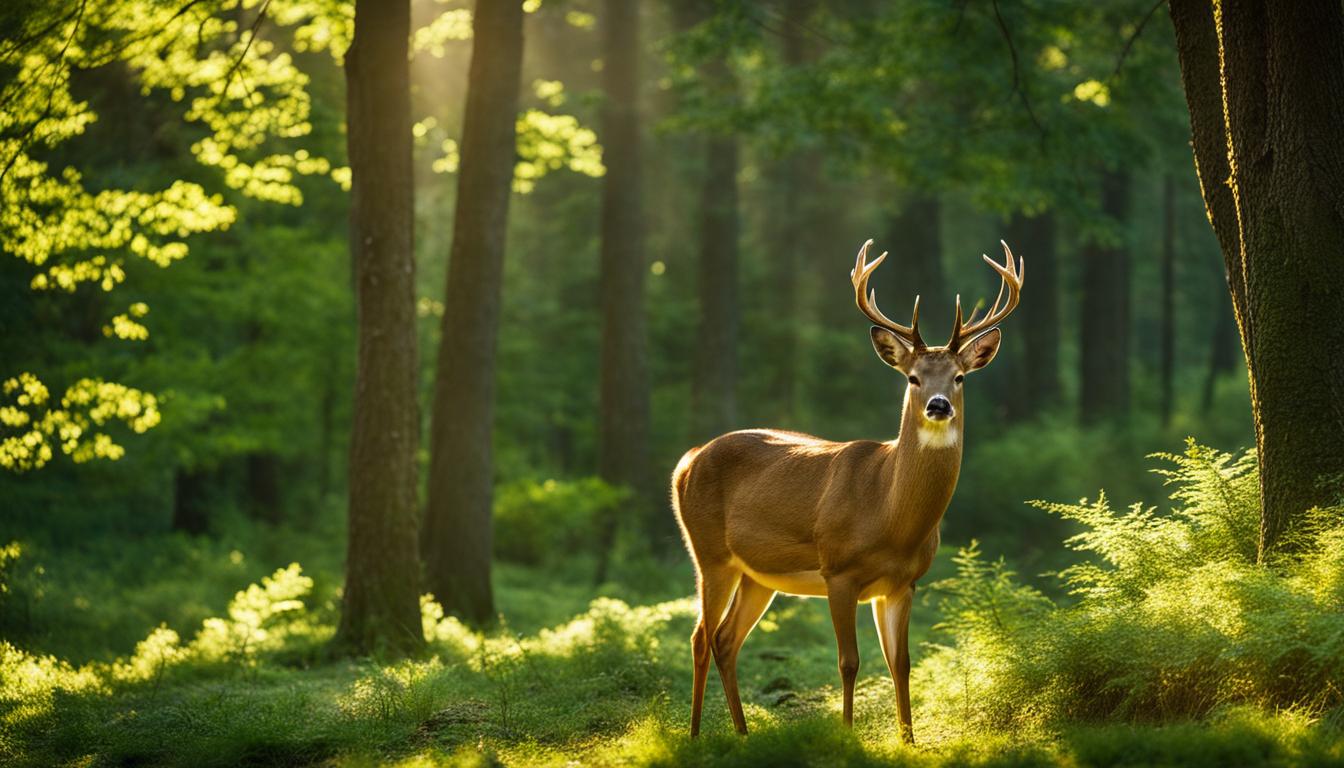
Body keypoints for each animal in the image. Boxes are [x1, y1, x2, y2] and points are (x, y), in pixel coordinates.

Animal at [671, 238, 1024, 743]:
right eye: (913, 377)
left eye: (959, 377)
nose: (938, 406)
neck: (890, 515)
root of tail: (687, 460)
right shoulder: (838, 571)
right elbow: (849, 662)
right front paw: (847, 733)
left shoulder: (902, 584)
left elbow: (901, 664)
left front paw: (908, 740)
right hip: (709, 552)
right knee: (701, 636)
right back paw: (697, 734)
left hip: (758, 575)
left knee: (725, 639)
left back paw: (741, 733)